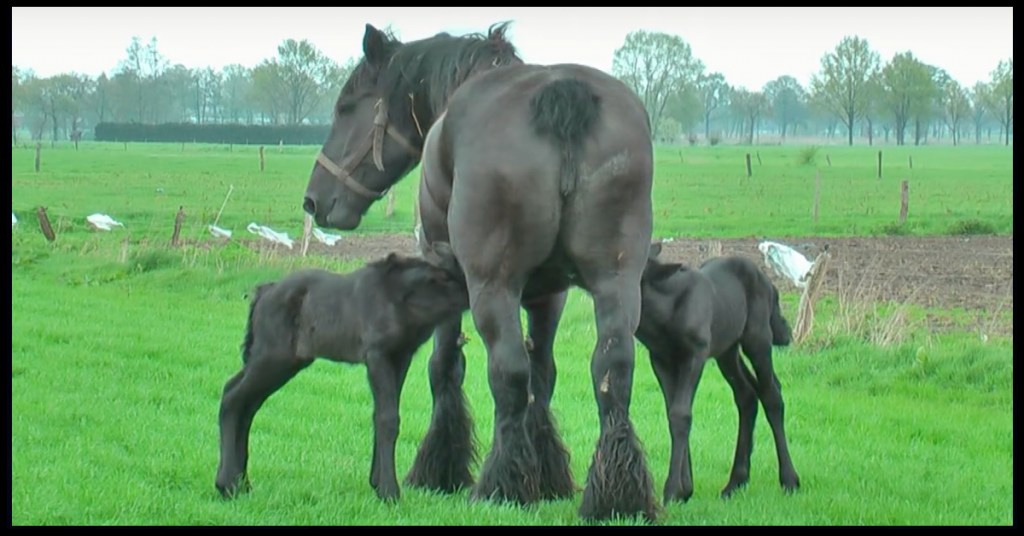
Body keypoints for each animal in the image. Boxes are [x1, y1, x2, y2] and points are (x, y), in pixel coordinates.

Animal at [215, 242, 470, 502]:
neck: (403, 298)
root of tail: (264, 292)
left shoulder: (401, 358)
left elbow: (381, 414)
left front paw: (377, 482)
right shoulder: (377, 355)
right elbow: (388, 418)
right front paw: (389, 491)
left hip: (285, 363)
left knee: (247, 403)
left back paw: (242, 483)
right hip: (272, 358)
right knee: (233, 397)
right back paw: (228, 484)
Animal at [302, 23, 660, 522]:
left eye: (344, 108)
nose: (313, 200)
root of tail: (561, 95)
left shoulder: (446, 278)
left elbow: (446, 366)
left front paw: (441, 468)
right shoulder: (549, 296)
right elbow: (544, 373)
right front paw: (546, 472)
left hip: (493, 286)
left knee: (507, 373)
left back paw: (499, 484)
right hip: (616, 283)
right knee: (612, 371)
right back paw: (614, 496)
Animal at [636, 241, 801, 505]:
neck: (666, 311)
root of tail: (769, 283)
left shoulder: (695, 355)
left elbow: (681, 414)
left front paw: (672, 490)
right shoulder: (660, 360)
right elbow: (673, 411)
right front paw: (685, 488)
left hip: (757, 339)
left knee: (771, 395)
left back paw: (789, 479)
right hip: (727, 350)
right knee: (747, 394)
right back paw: (736, 482)